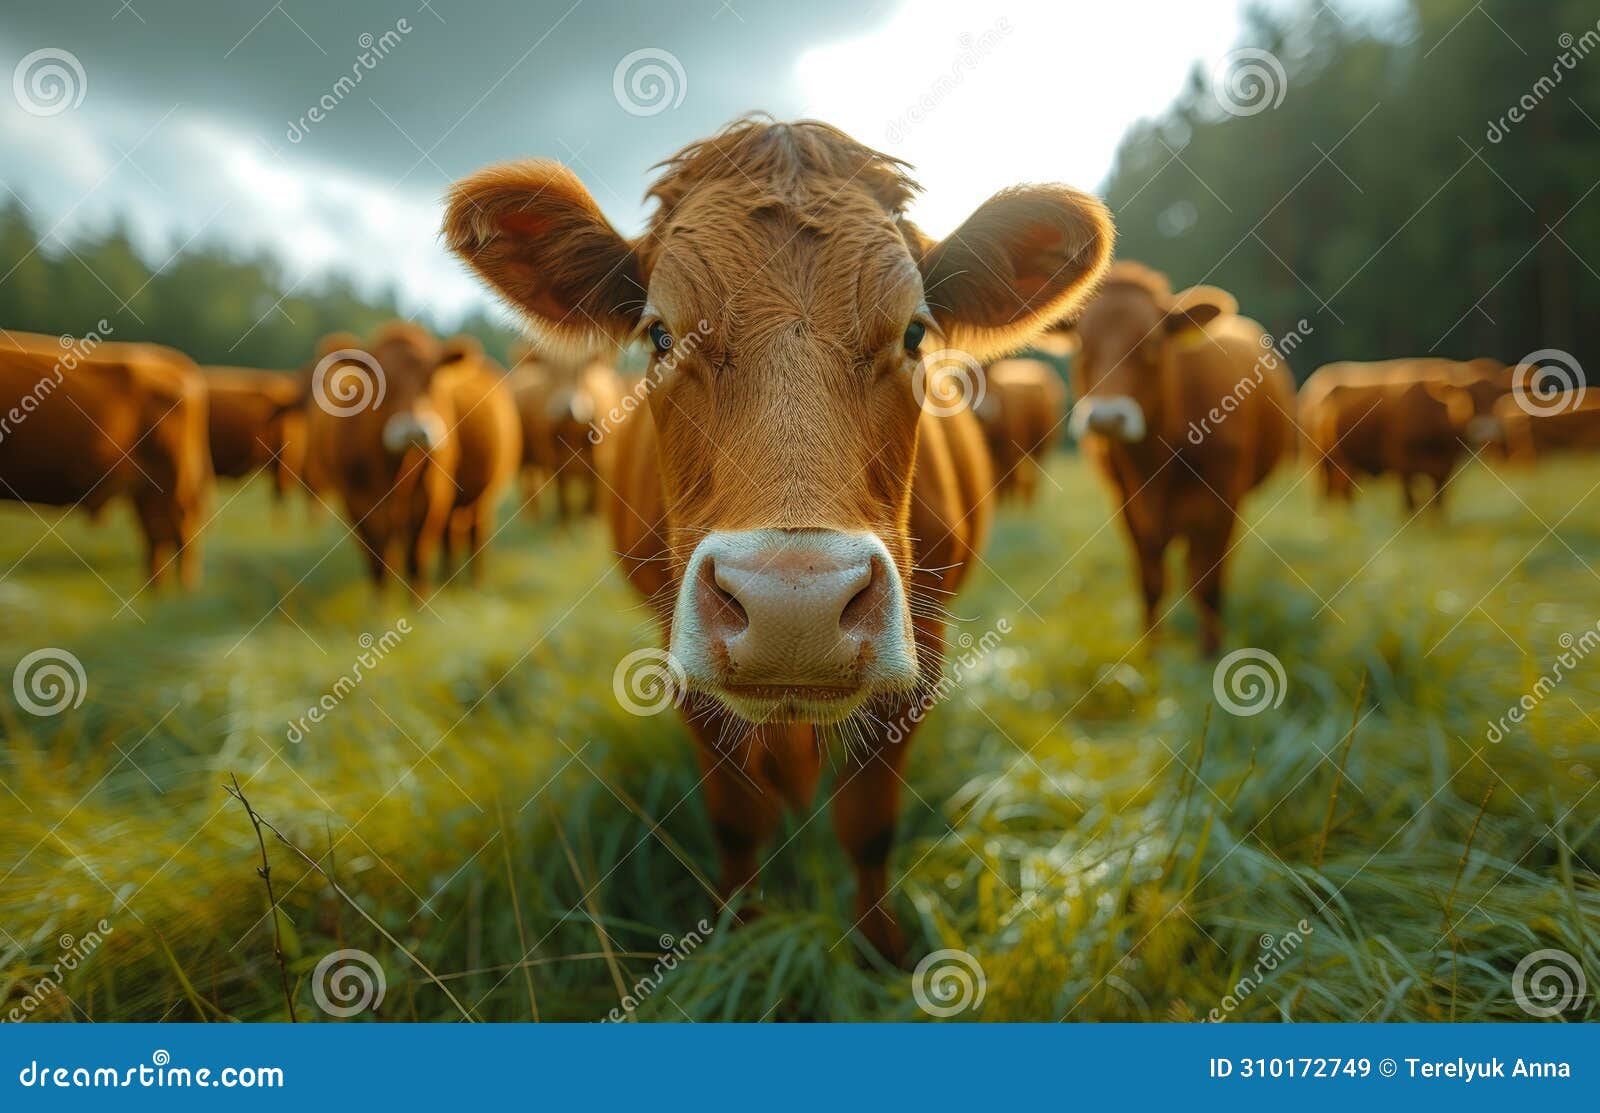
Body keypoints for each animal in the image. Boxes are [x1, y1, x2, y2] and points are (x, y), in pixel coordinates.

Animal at [1066, 263, 1295, 654]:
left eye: (1153, 343)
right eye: (1081, 344)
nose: (1107, 418)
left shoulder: (1222, 505)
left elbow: (1208, 587)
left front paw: (1210, 655)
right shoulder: (1127, 508)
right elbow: (1151, 584)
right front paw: (1151, 653)